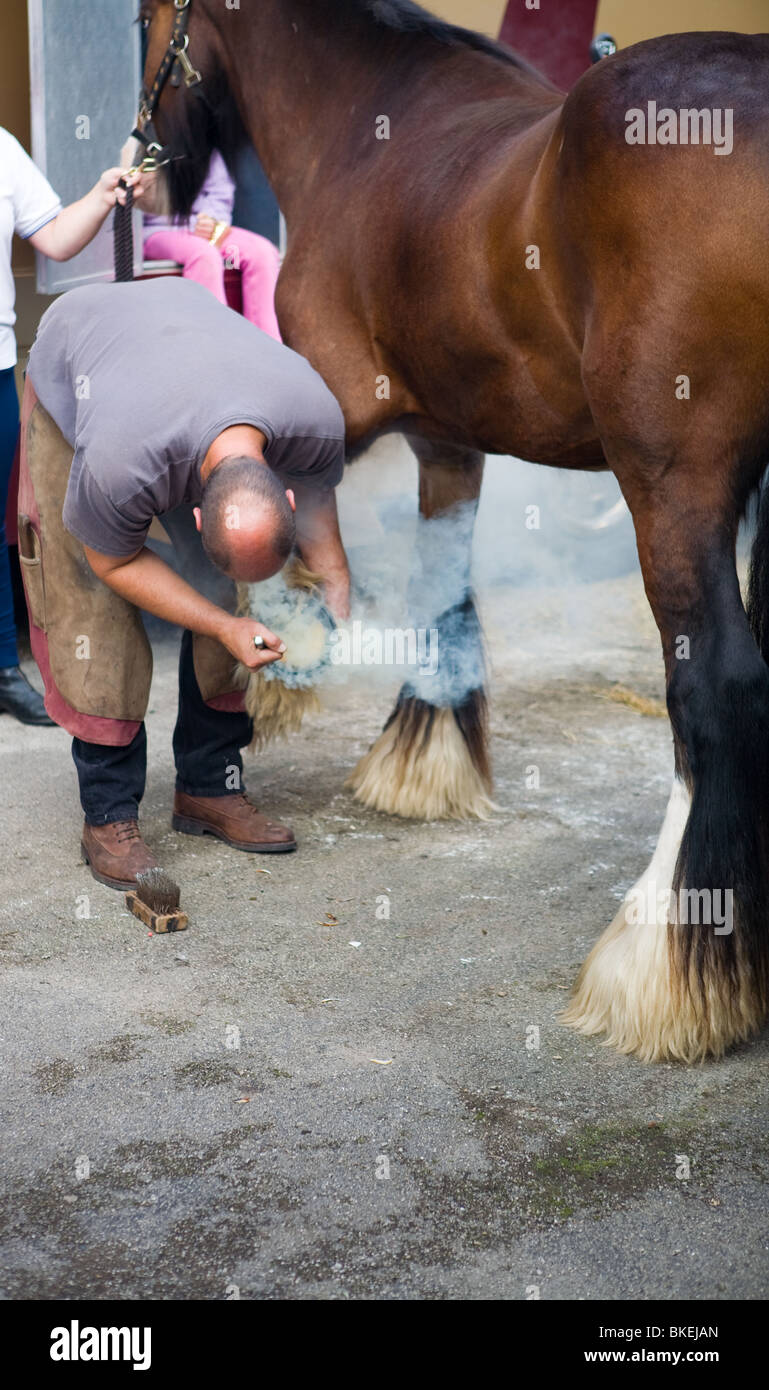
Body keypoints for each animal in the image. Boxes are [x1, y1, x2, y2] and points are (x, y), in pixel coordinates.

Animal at [136, 0, 769, 1064]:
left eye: (148, 19)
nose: (145, 163)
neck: (369, 120)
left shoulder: (329, 409)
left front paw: (262, 684)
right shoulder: (446, 443)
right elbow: (443, 591)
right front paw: (424, 761)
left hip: (672, 483)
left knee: (712, 694)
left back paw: (656, 971)